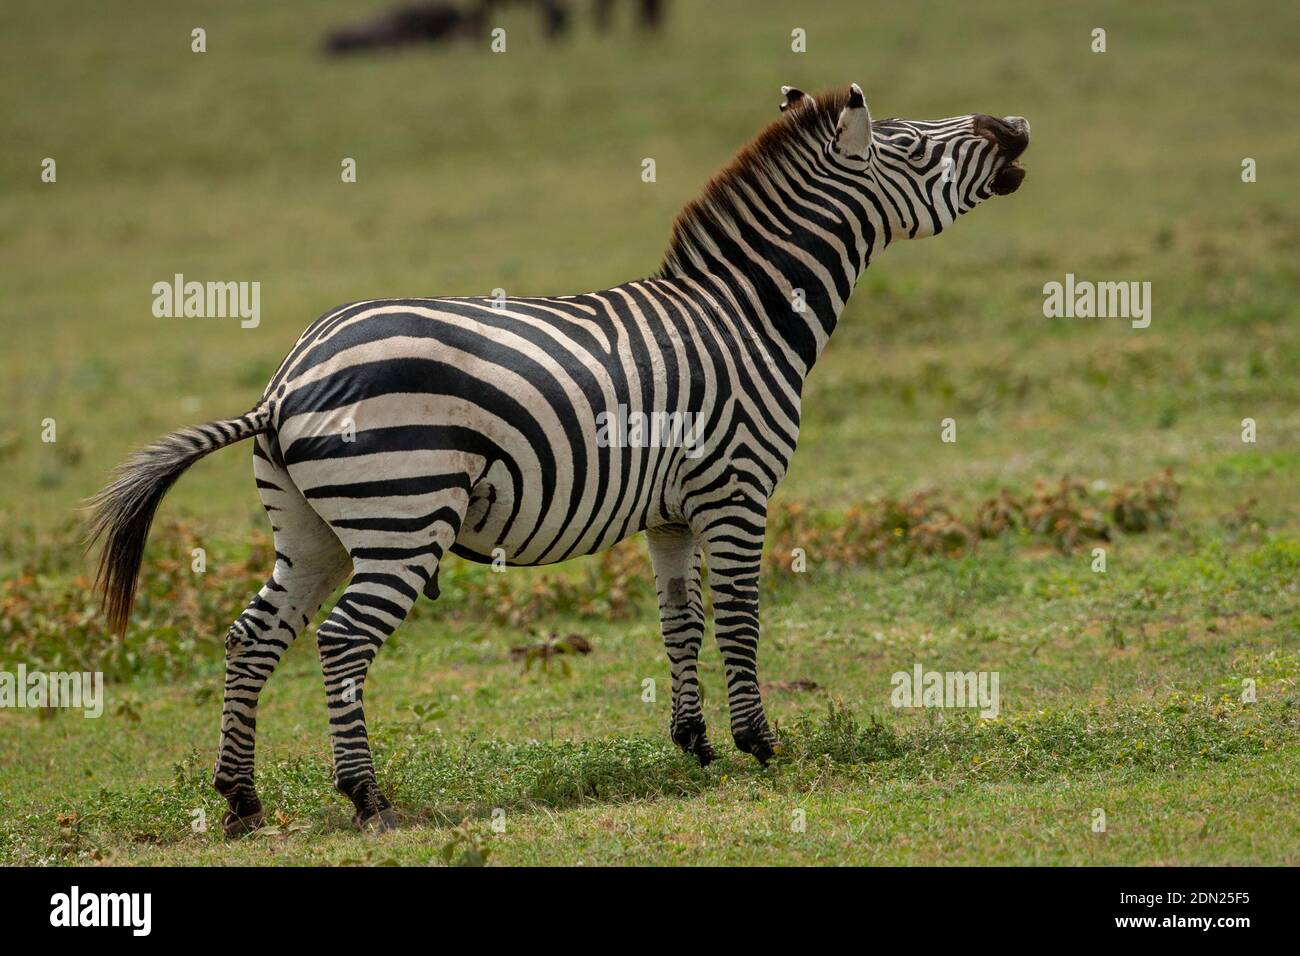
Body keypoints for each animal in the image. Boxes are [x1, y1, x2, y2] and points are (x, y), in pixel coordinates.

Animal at [88, 84, 1029, 833]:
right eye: (912, 145)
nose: (1016, 126)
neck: (748, 316)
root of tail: (283, 385)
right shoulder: (738, 488)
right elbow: (739, 615)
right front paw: (760, 742)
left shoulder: (670, 511)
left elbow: (681, 622)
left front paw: (695, 744)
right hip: (402, 515)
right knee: (344, 640)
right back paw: (367, 799)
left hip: (311, 529)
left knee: (253, 637)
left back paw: (241, 801)